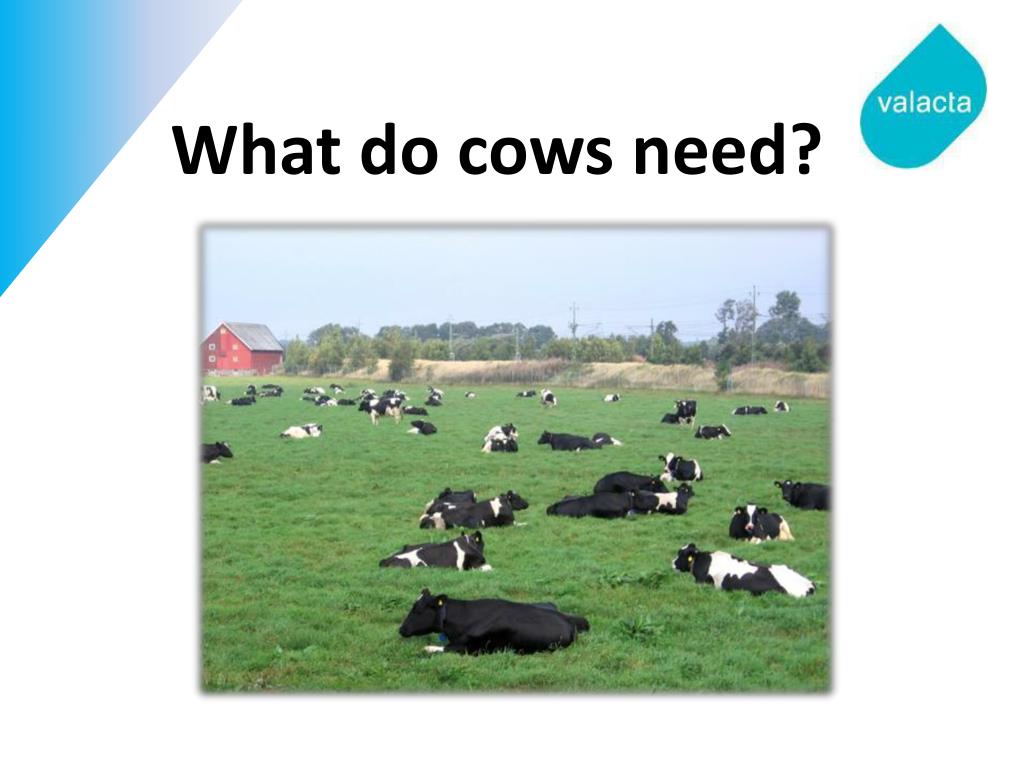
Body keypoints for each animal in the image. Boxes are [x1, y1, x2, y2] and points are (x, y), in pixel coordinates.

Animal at [398, 588, 589, 655]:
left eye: (417, 610)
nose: (401, 629)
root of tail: (568, 620)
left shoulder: (468, 648)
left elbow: (435, 649)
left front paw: (425, 649)